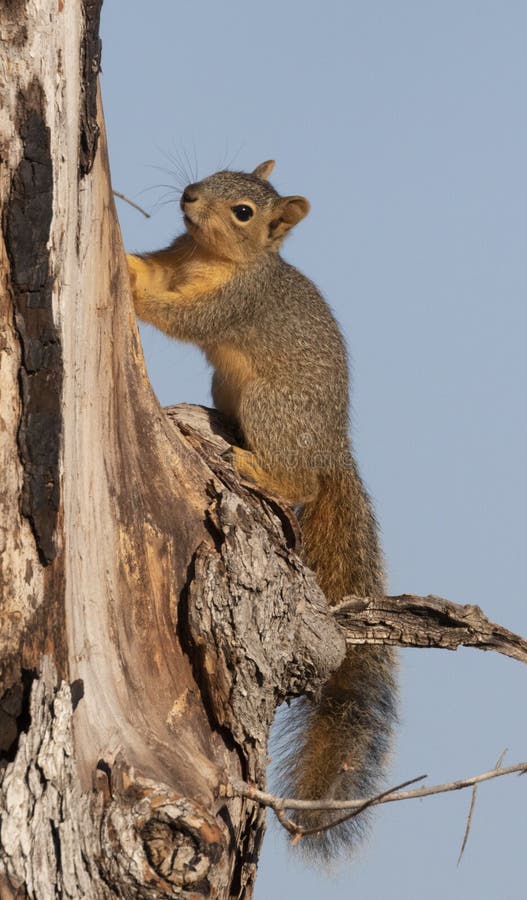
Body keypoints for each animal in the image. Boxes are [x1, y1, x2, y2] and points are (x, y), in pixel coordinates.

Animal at [126, 160, 397, 860]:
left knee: (298, 480)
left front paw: (120, 269)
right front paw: (126, 255)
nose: (189, 196)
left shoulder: (232, 304)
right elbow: (157, 271)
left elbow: (182, 316)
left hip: (271, 407)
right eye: (214, 174)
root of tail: (332, 449)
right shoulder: (177, 256)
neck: (213, 255)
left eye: (244, 211)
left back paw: (257, 467)